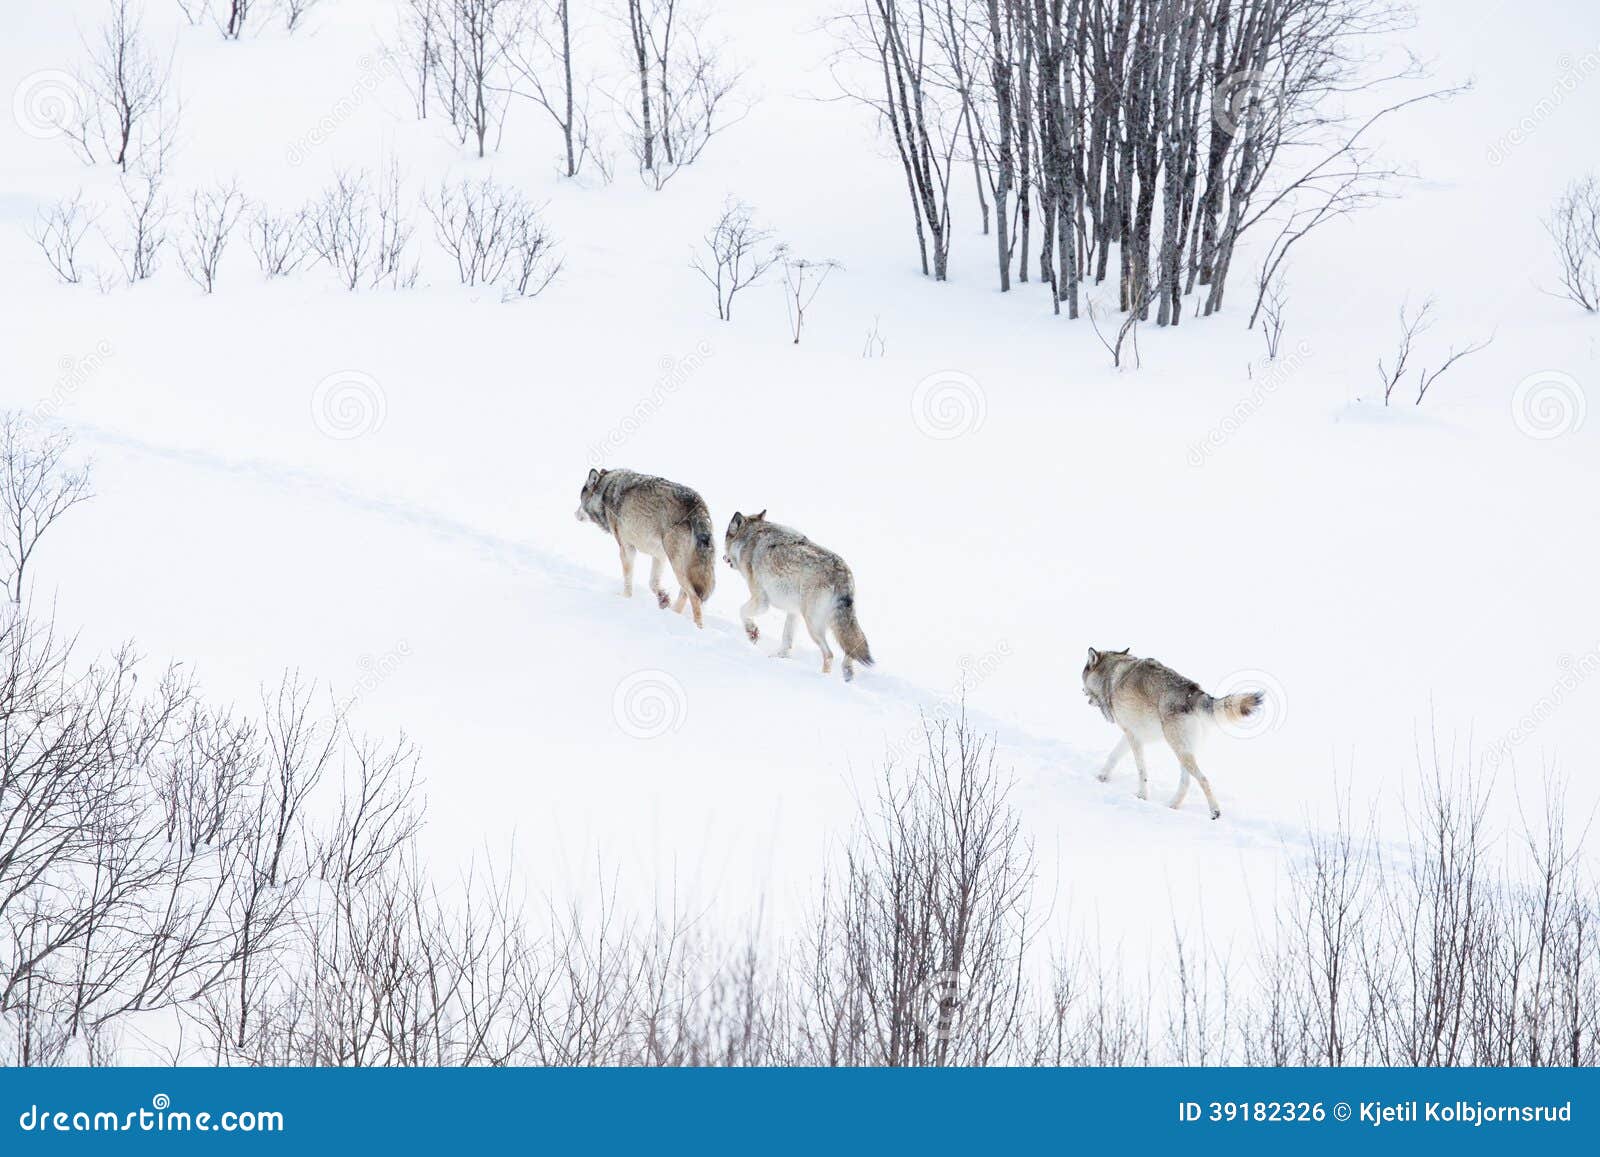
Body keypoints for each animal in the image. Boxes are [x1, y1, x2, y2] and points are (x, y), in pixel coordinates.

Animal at [574, 468, 716, 627]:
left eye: (580, 500)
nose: (575, 514)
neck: (606, 492)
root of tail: (698, 504)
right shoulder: (659, 556)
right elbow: (653, 584)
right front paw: (663, 599)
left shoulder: (626, 548)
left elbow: (628, 579)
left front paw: (625, 598)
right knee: (686, 593)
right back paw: (674, 614)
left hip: (677, 564)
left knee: (694, 597)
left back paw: (697, 627)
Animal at [722, 510, 873, 681]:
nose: (723, 557)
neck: (749, 538)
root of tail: (842, 573)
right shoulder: (793, 612)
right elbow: (786, 641)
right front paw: (778, 658)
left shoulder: (761, 602)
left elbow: (742, 611)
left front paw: (752, 633)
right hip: (833, 623)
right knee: (850, 649)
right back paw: (847, 676)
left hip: (813, 625)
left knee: (829, 654)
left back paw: (823, 677)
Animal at [1081, 648, 1265, 820]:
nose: (1082, 691)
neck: (1110, 676)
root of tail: (1193, 692)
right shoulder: (1131, 733)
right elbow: (1113, 756)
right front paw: (1101, 777)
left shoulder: (1133, 736)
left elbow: (1141, 771)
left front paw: (1141, 796)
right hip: (1183, 751)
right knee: (1186, 781)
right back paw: (1172, 805)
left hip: (1178, 749)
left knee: (1203, 779)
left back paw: (1215, 812)